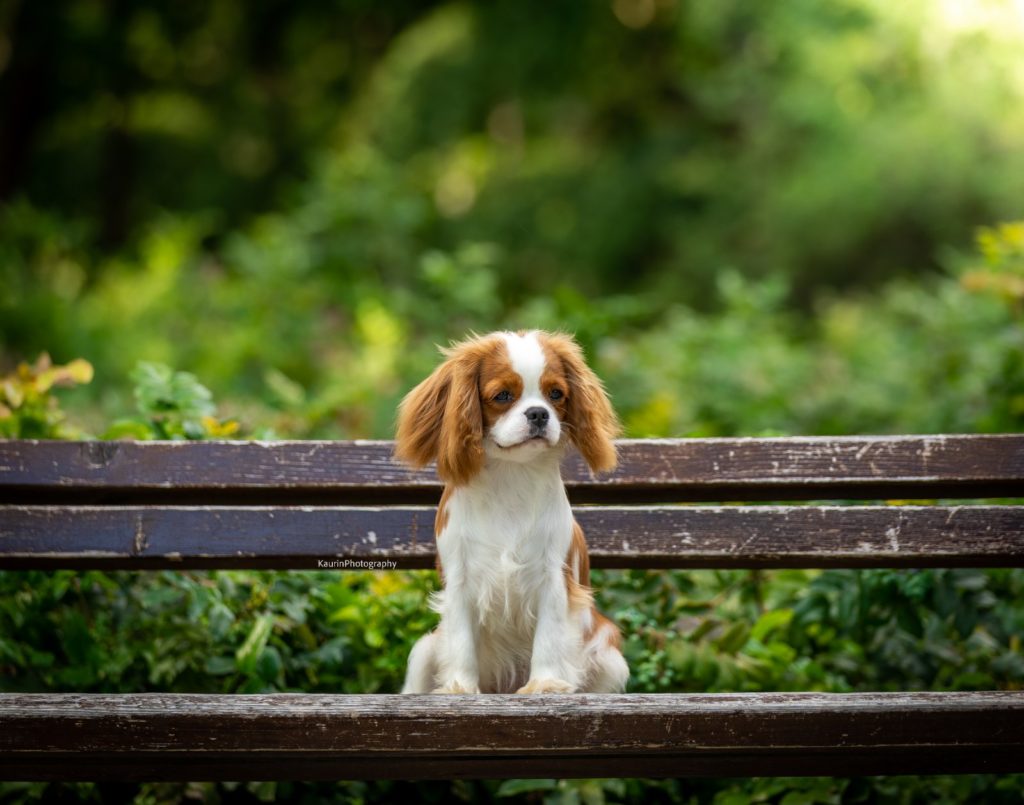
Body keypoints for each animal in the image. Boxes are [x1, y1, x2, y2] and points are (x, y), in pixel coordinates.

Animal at [393, 329, 626, 692]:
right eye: (502, 396)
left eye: (556, 394)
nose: (539, 413)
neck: (512, 474)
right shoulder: (459, 580)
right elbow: (461, 640)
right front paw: (460, 687)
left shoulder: (553, 579)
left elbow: (549, 636)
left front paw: (544, 684)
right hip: (424, 650)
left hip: (610, 658)